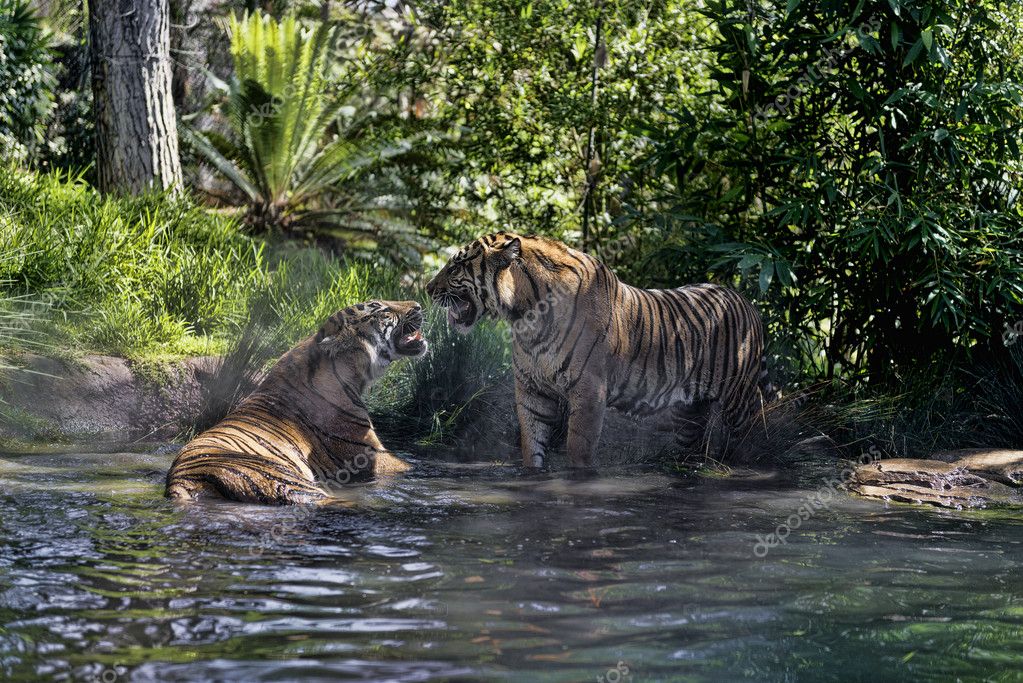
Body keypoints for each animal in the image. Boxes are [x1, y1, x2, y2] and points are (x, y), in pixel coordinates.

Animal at [425, 232, 767, 468]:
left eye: (456, 265)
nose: (428, 289)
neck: (525, 315)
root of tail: (747, 302)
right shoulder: (533, 390)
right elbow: (531, 445)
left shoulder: (589, 390)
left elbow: (578, 448)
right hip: (690, 411)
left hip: (739, 401)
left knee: (749, 441)